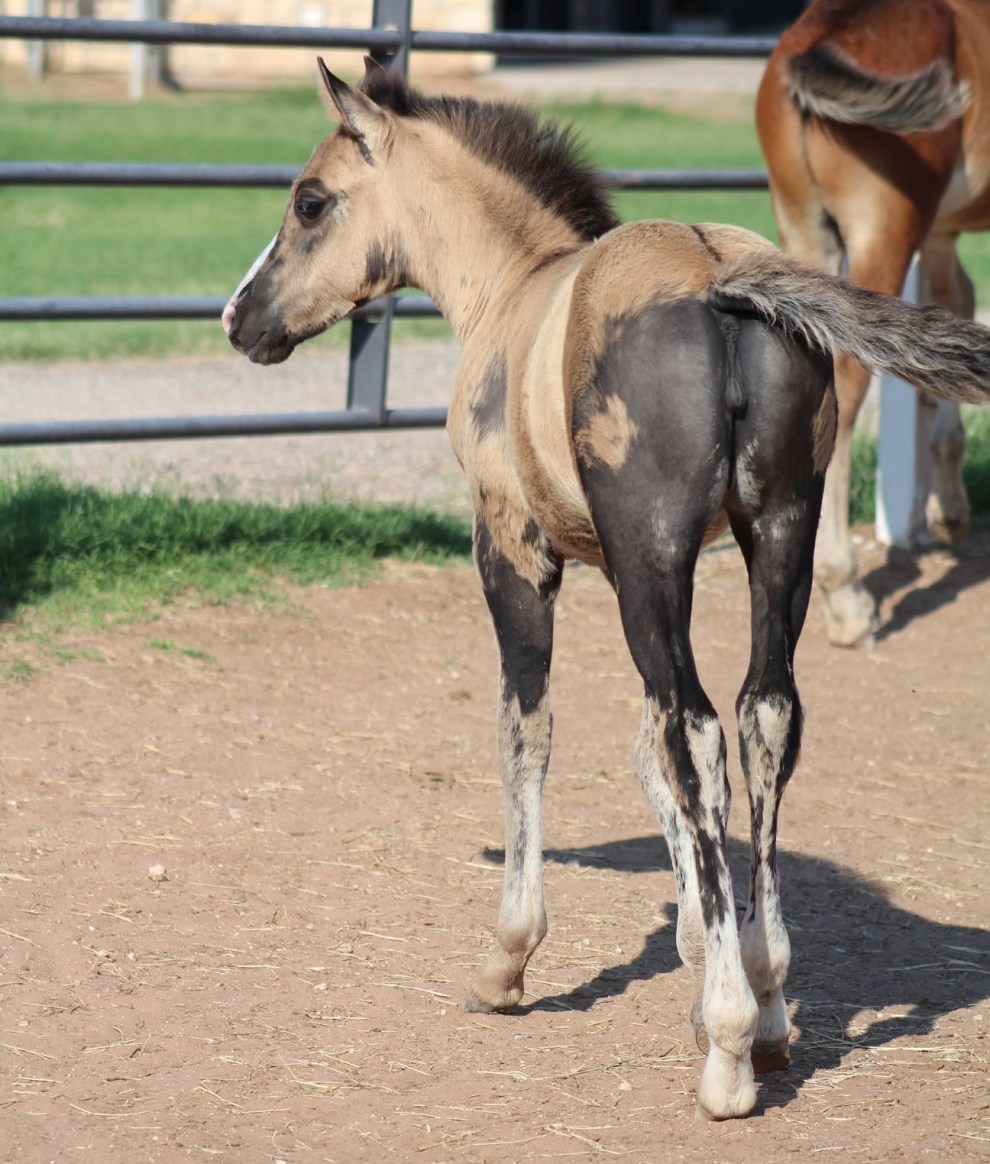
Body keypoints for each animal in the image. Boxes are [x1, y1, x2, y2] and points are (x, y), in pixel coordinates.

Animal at [756, 0, 990, 646]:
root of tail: (826, 29)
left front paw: (944, 507)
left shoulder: (942, 231)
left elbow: (952, 311)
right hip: (881, 235)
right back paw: (847, 597)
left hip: (803, 233)